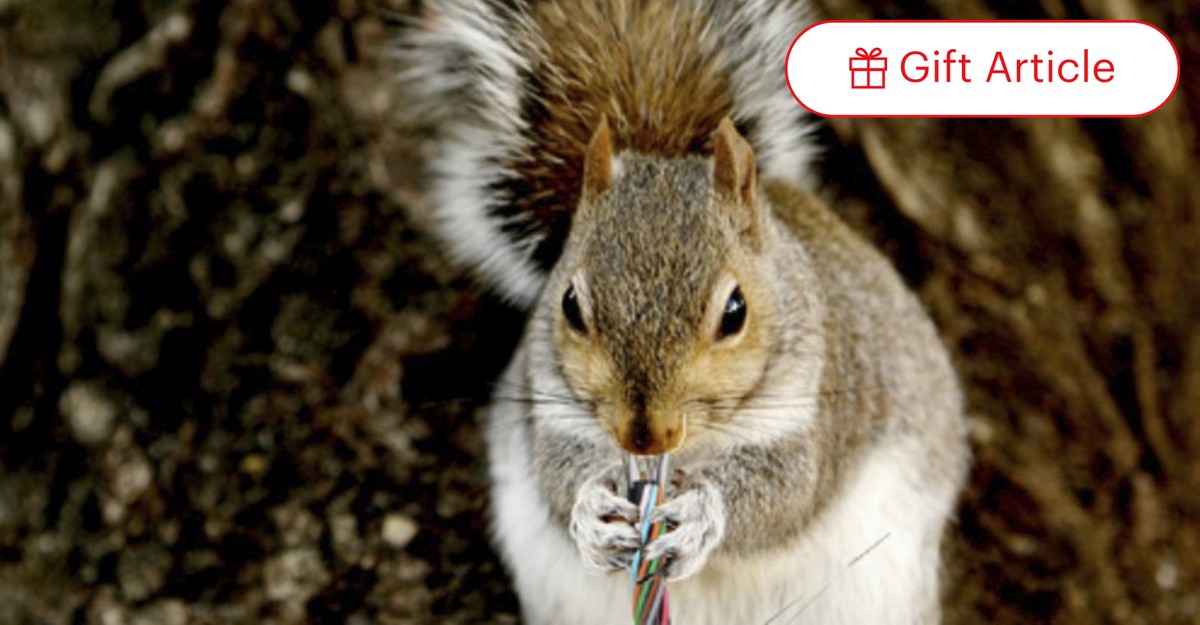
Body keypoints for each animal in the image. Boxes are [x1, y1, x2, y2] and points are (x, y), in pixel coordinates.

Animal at [397, 1, 970, 623]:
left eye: (736, 312)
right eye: (570, 304)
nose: (646, 437)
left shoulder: (822, 407)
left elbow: (782, 493)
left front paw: (702, 514)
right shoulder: (549, 404)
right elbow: (557, 475)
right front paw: (590, 511)